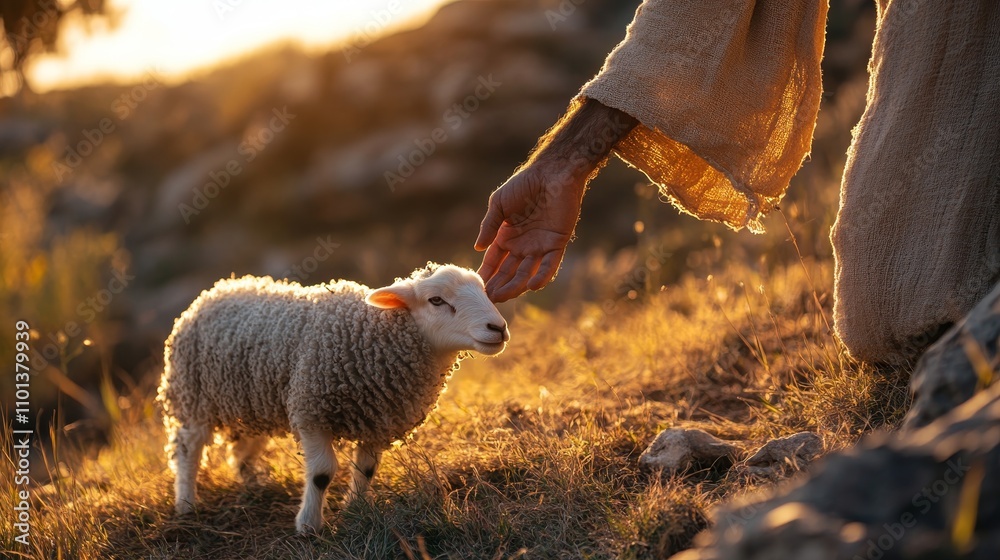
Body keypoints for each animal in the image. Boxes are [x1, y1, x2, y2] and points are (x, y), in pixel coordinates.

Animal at [157, 262, 509, 533]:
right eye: (436, 300)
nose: (498, 328)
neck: (373, 335)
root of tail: (220, 288)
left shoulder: (378, 419)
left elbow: (366, 470)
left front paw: (355, 510)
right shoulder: (311, 410)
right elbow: (322, 473)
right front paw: (309, 525)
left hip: (252, 399)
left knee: (243, 449)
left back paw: (255, 483)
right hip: (194, 397)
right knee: (188, 450)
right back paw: (186, 502)